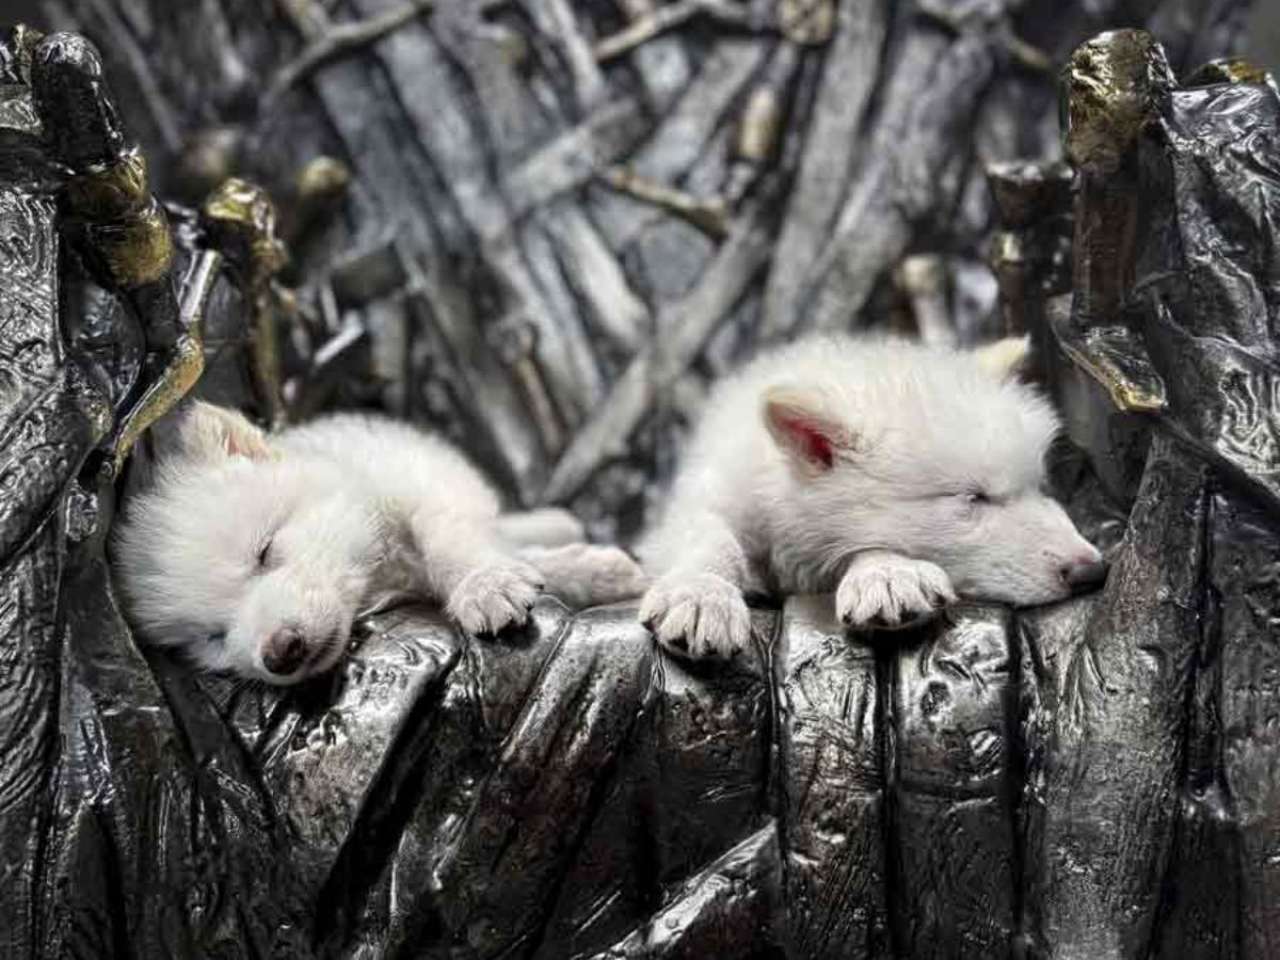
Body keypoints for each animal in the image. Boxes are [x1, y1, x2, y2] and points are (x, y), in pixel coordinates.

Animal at [113, 402, 646, 684]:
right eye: (213, 638)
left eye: (264, 551)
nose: (280, 652)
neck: (377, 572)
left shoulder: (421, 484)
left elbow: (451, 538)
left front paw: (486, 584)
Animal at [637, 334, 1106, 659]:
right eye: (973, 498)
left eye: (1039, 486)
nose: (1093, 572)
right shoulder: (710, 495)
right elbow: (709, 537)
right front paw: (700, 595)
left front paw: (888, 574)